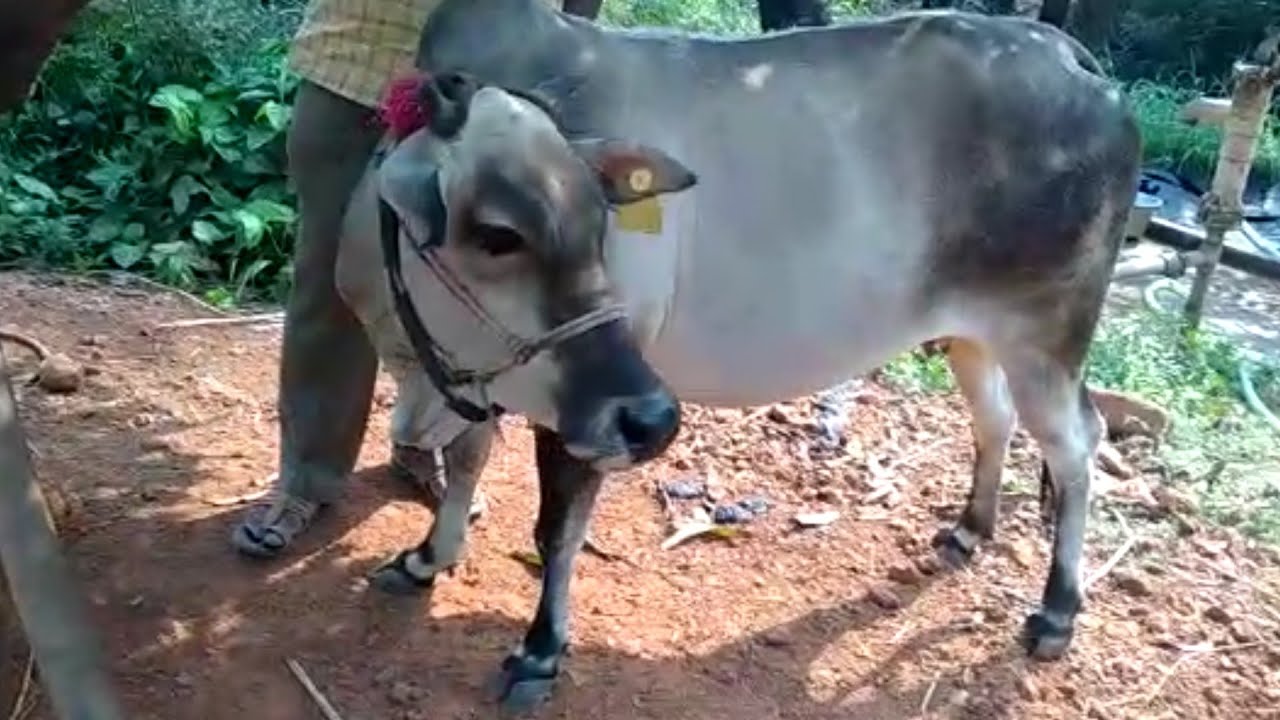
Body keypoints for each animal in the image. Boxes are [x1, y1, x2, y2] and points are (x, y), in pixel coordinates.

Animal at [333, 0, 1139, 712]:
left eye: (601, 224)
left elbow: (555, 530)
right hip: (972, 332)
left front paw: (538, 654)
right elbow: (467, 459)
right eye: (499, 234)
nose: (658, 420)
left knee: (1076, 444)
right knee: (994, 417)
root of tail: (1073, 59)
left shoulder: (588, 408)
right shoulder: (477, 375)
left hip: (1045, 335)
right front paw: (427, 558)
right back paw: (970, 528)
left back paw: (1057, 611)